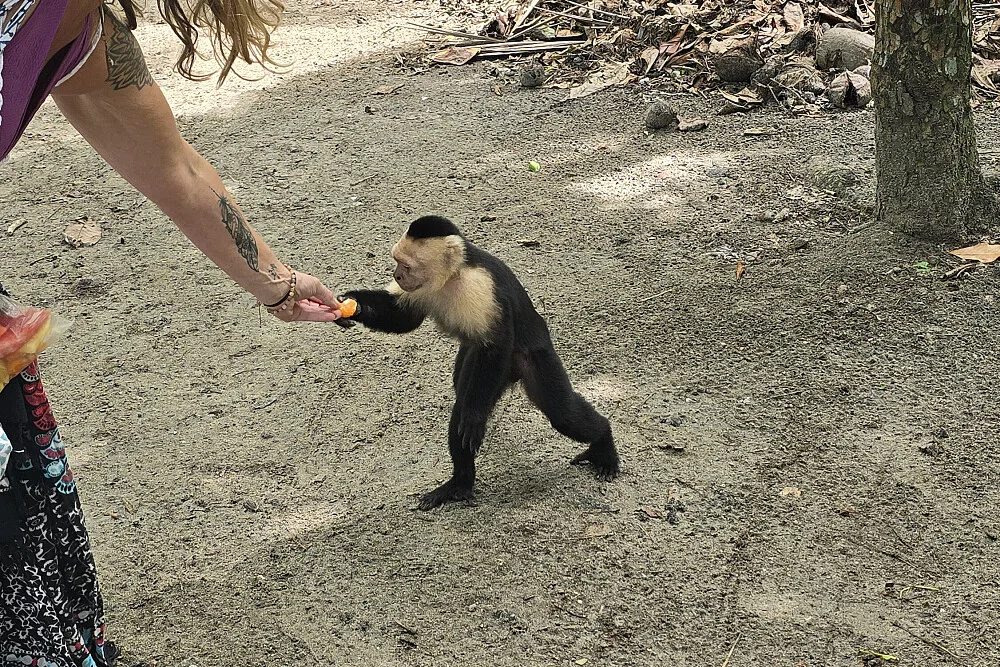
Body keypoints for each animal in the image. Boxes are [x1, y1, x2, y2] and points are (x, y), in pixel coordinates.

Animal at [339, 215, 620, 510]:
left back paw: (604, 442)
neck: (452, 276)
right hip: (477, 363)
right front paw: (351, 305)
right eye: (397, 263)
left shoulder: (480, 286)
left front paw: (474, 417)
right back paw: (459, 483)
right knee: (462, 396)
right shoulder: (420, 289)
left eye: (405, 265)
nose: (396, 276)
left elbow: (496, 343)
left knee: (561, 412)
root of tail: (513, 372)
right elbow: (403, 317)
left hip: (529, 358)